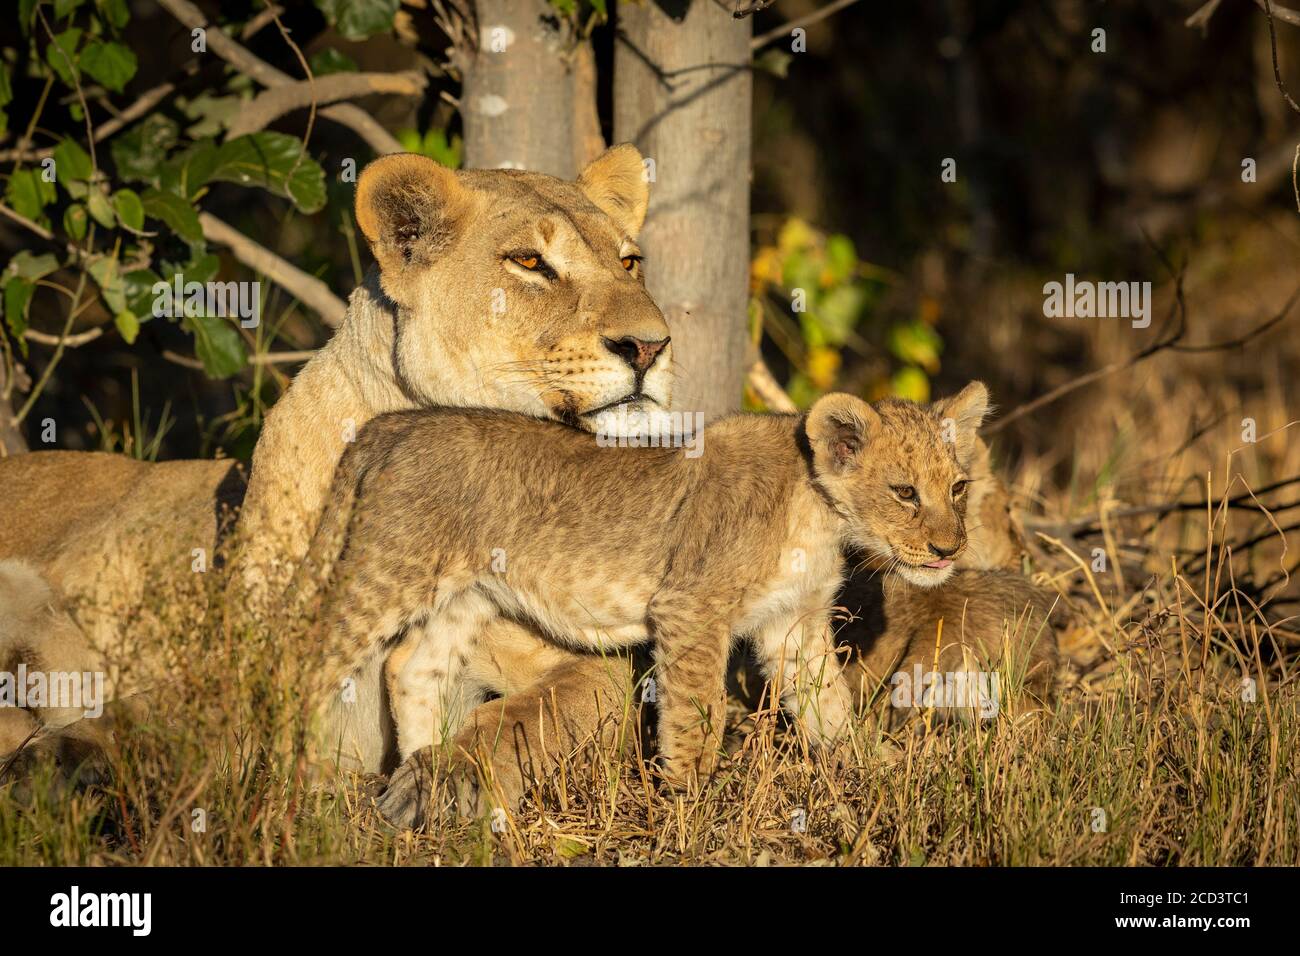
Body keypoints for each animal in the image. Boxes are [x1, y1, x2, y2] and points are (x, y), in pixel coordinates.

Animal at [284, 383, 991, 829]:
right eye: (904, 492)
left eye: (958, 486)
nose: (949, 548)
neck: (821, 511)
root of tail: (393, 422)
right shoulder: (691, 609)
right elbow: (696, 716)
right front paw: (692, 804)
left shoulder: (792, 626)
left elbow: (831, 709)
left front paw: (877, 772)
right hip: (388, 570)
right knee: (304, 663)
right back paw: (287, 781)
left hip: (468, 595)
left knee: (409, 666)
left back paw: (428, 773)